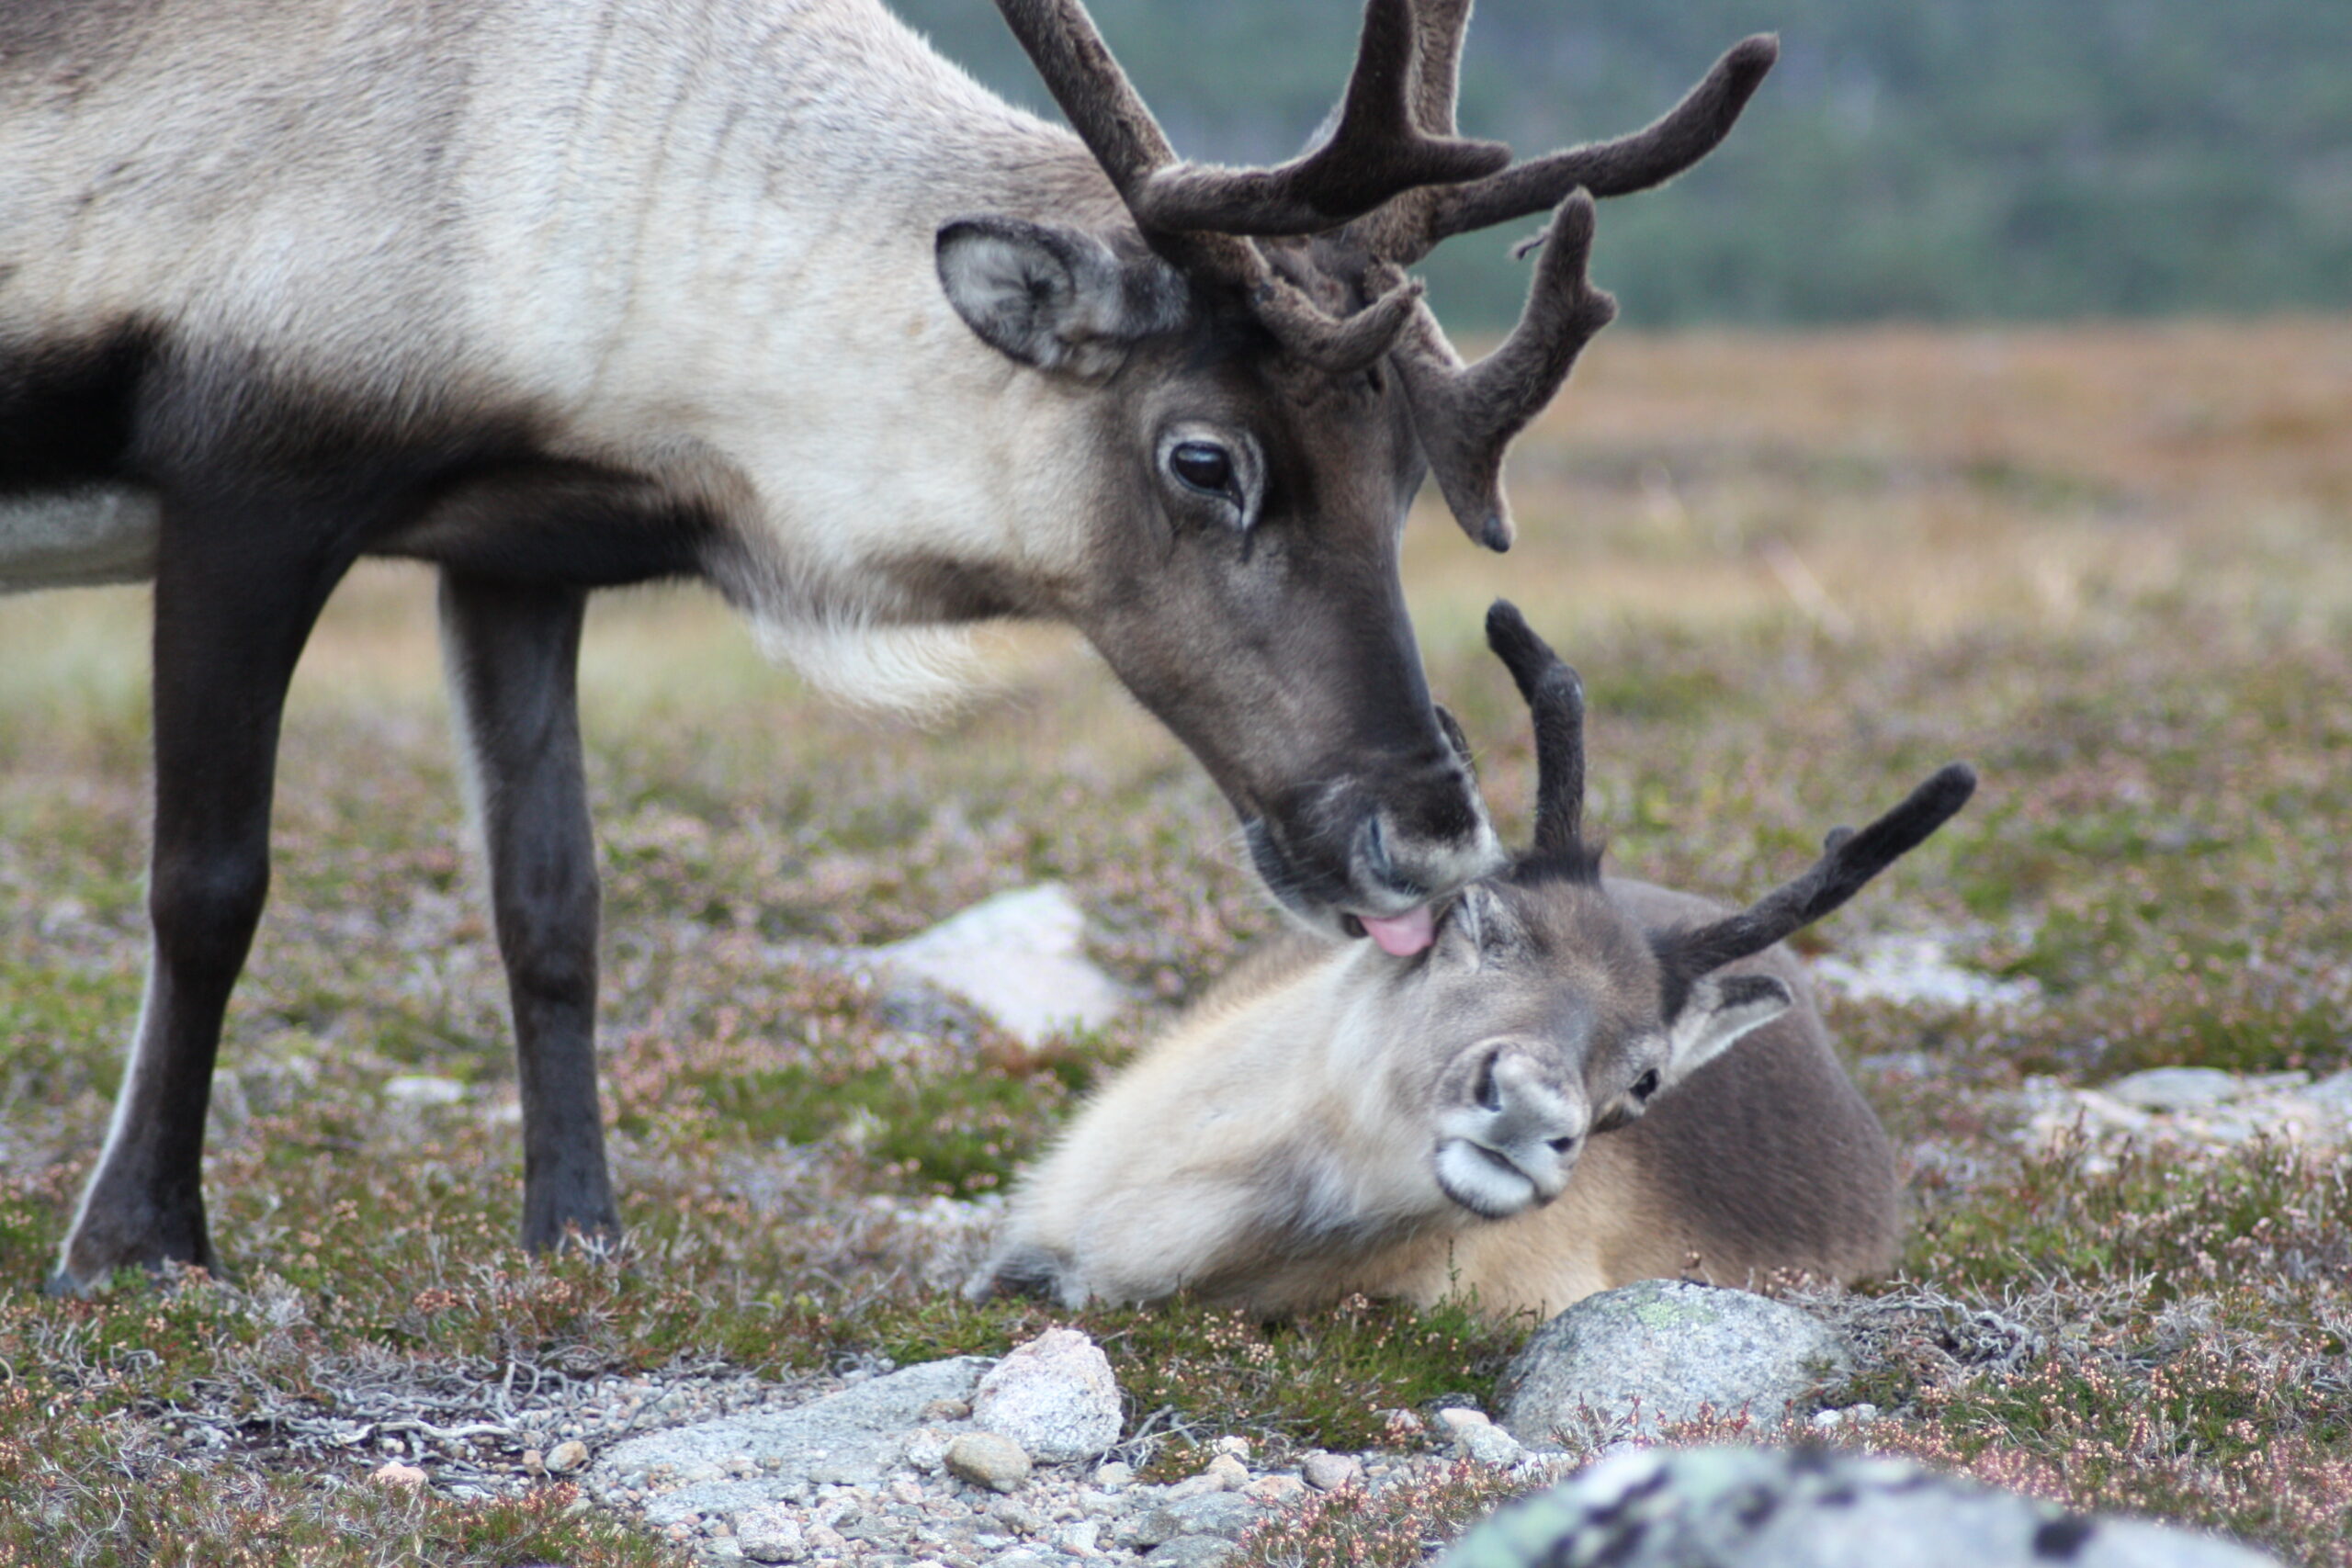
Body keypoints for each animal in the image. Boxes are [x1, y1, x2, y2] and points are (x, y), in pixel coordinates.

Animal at [1, 0, 1781, 1293]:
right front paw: (138, 1245)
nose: (1427, 833)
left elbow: (552, 904)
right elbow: (210, 883)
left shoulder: (509, 553)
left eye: (1407, 472)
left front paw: (578, 1235)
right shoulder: (247, 487)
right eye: (1206, 458)